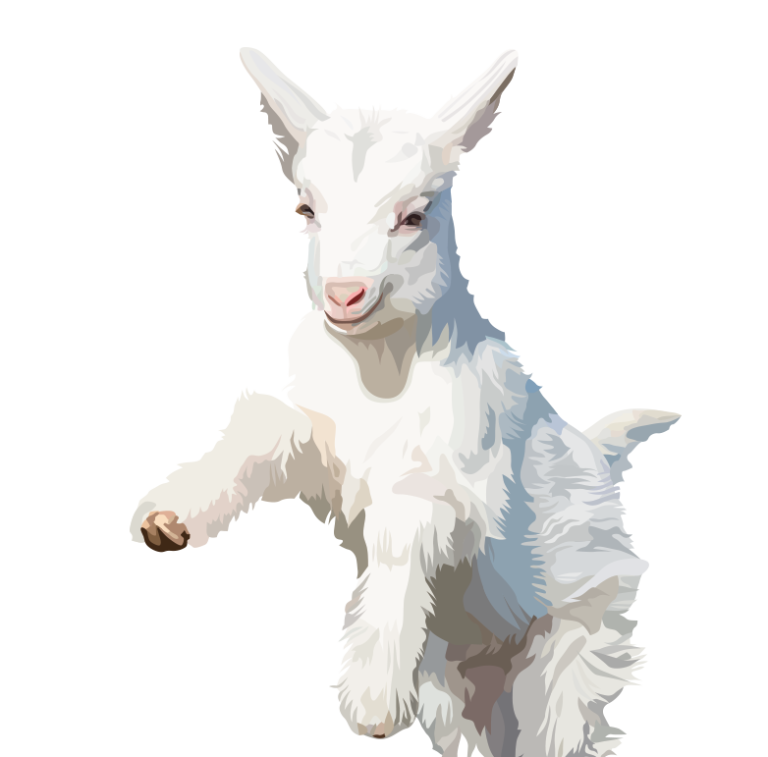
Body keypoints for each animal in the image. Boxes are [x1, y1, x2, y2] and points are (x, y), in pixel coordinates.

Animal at [129, 47, 681, 757]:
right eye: (304, 211)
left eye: (414, 215)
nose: (345, 296)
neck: (380, 367)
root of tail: (599, 459)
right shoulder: (329, 454)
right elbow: (271, 428)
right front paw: (169, 518)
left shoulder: (452, 481)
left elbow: (401, 528)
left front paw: (371, 698)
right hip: (460, 697)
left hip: (581, 638)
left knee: (565, 726)